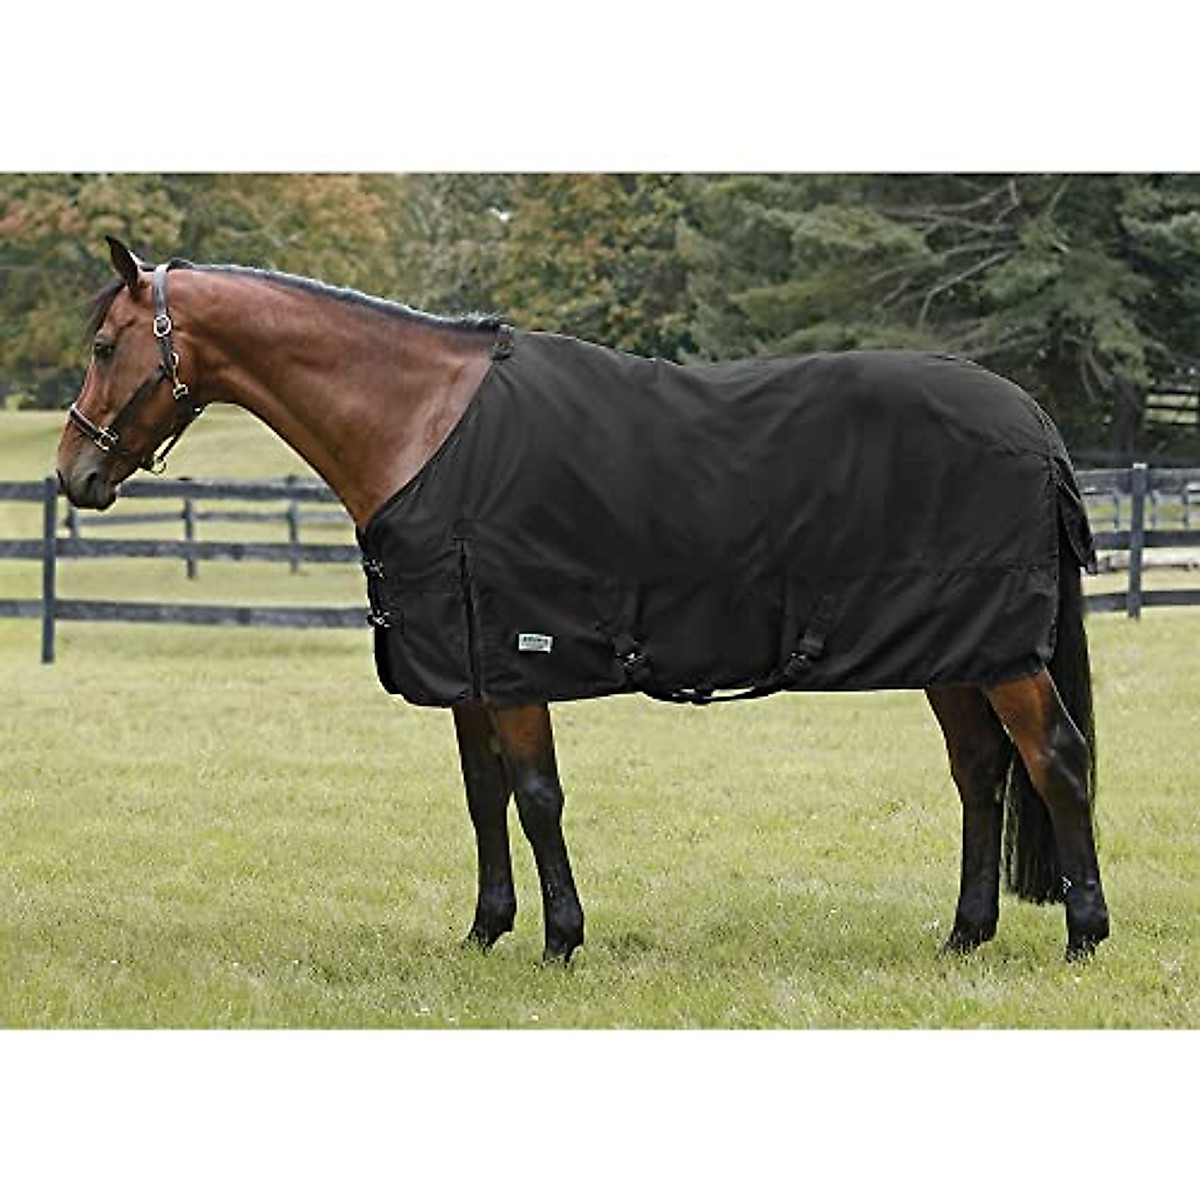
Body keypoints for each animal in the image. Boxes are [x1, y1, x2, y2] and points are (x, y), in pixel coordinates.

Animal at [56, 236, 1110, 963]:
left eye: (105, 345)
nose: (73, 475)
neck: (422, 427)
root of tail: (1031, 418)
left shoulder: (520, 657)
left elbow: (536, 795)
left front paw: (561, 938)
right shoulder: (467, 664)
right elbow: (483, 797)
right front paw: (486, 932)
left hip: (1000, 653)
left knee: (1054, 757)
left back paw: (1084, 933)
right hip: (957, 650)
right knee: (980, 770)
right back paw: (965, 934)